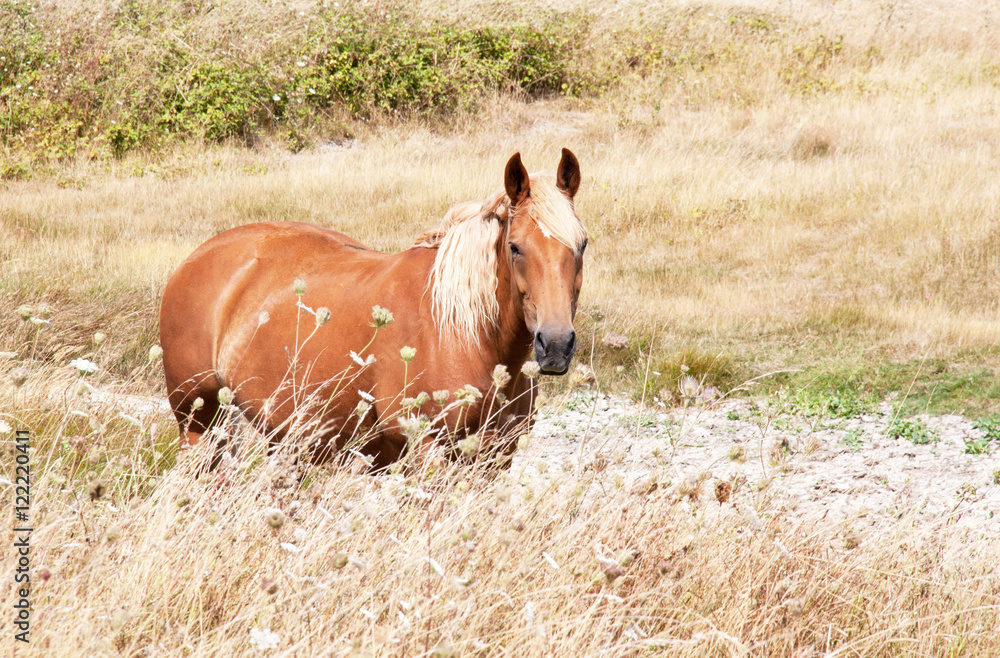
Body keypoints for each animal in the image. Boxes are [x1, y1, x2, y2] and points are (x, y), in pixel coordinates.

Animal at [159, 148, 588, 469]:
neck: (462, 333)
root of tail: (197, 257)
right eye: (515, 247)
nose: (554, 345)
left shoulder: (495, 457)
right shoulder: (427, 449)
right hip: (199, 423)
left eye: (582, 244)